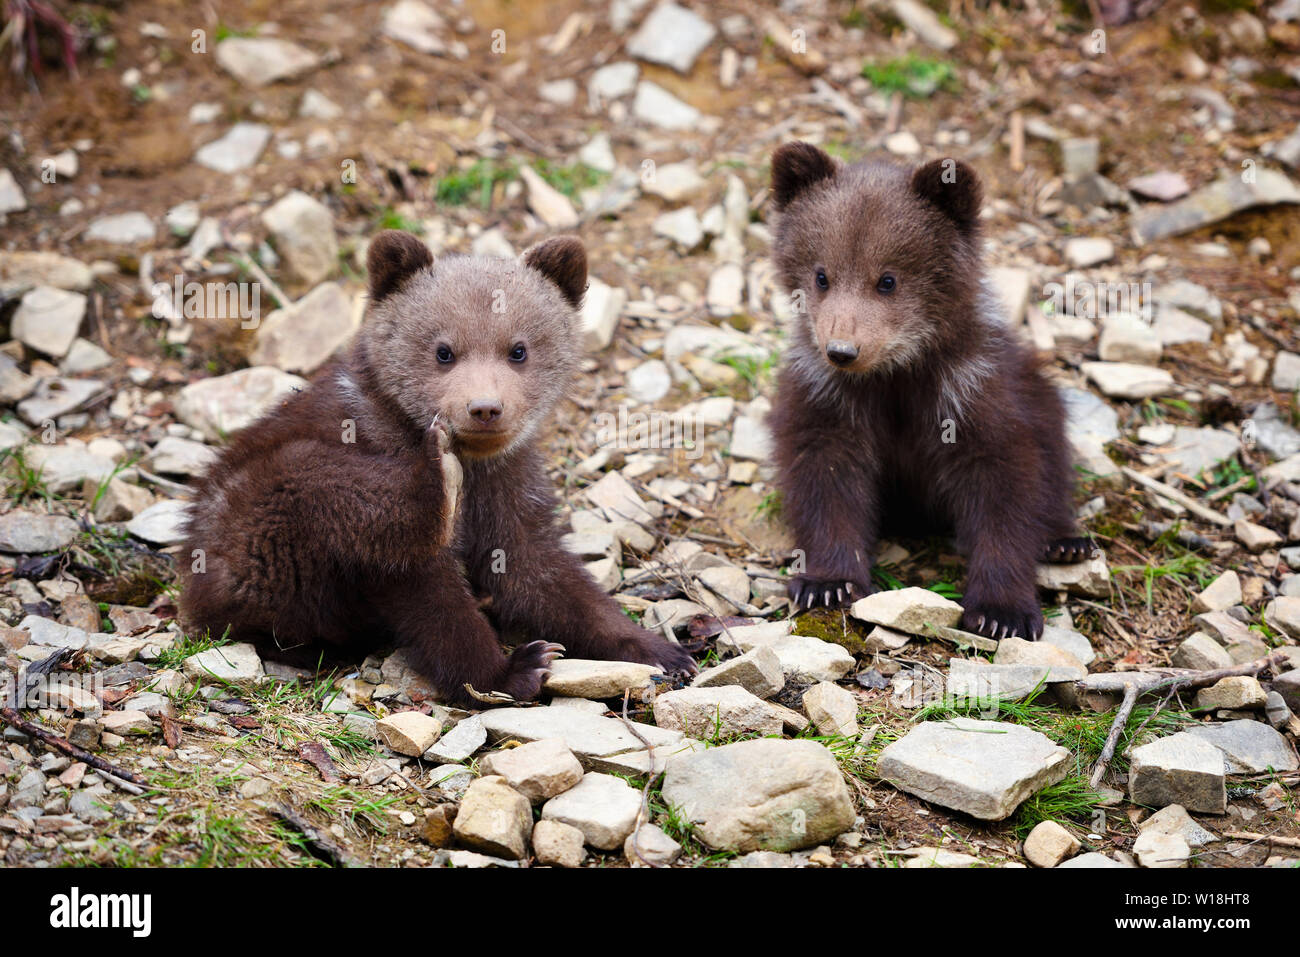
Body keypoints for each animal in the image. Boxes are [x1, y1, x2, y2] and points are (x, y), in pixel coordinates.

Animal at [179, 230, 696, 704]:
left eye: (519, 349)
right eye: (443, 350)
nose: (484, 408)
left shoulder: (507, 486)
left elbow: (542, 572)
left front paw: (660, 651)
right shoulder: (378, 453)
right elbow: (431, 598)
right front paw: (511, 669)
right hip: (250, 529)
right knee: (309, 482)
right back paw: (435, 488)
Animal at [765, 141, 1091, 641]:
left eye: (888, 279)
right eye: (821, 275)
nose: (842, 350)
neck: (896, 374)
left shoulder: (970, 391)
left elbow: (1004, 486)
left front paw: (1002, 610)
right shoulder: (826, 396)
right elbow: (824, 478)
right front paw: (827, 583)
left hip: (1037, 393)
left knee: (1053, 451)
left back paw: (1065, 541)